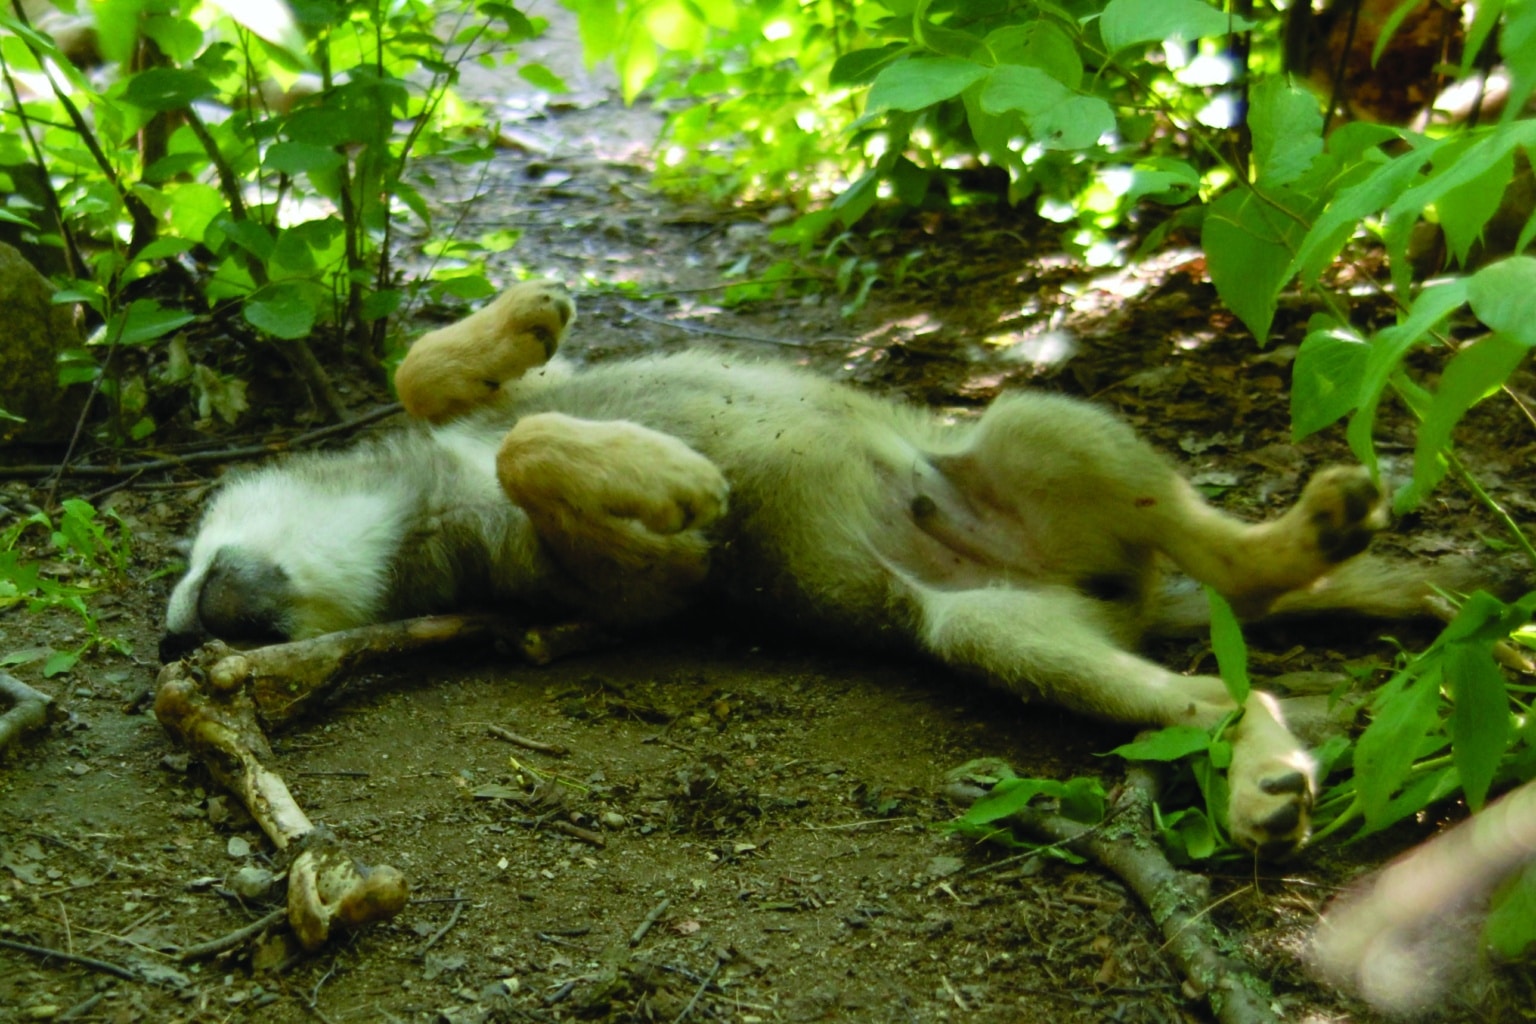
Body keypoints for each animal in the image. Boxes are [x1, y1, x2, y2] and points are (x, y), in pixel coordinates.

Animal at [162, 281, 1438, 855]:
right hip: (1004, 634)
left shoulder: (523, 416)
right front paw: (669, 475)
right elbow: (543, 461)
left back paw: (1319, 534)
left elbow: (438, 375)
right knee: (1224, 678)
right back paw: (1266, 767)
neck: (419, 505)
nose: (192, 638)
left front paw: (522, 320)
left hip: (1043, 424)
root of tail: (1118, 589)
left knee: (1227, 568)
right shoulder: (644, 583)